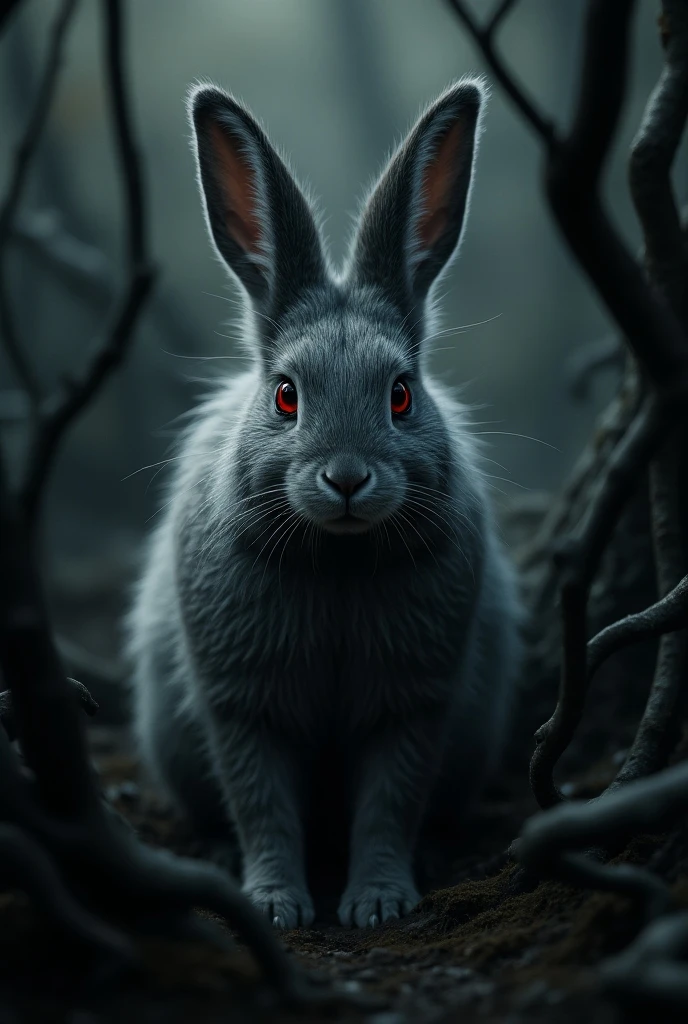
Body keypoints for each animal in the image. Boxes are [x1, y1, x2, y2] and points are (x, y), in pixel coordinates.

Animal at [126, 77, 523, 931]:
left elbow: (388, 805)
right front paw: (276, 906)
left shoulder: (412, 705)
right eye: (286, 395)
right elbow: (262, 806)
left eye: (401, 393)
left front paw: (378, 904)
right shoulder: (244, 708)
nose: (346, 478)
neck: (340, 556)